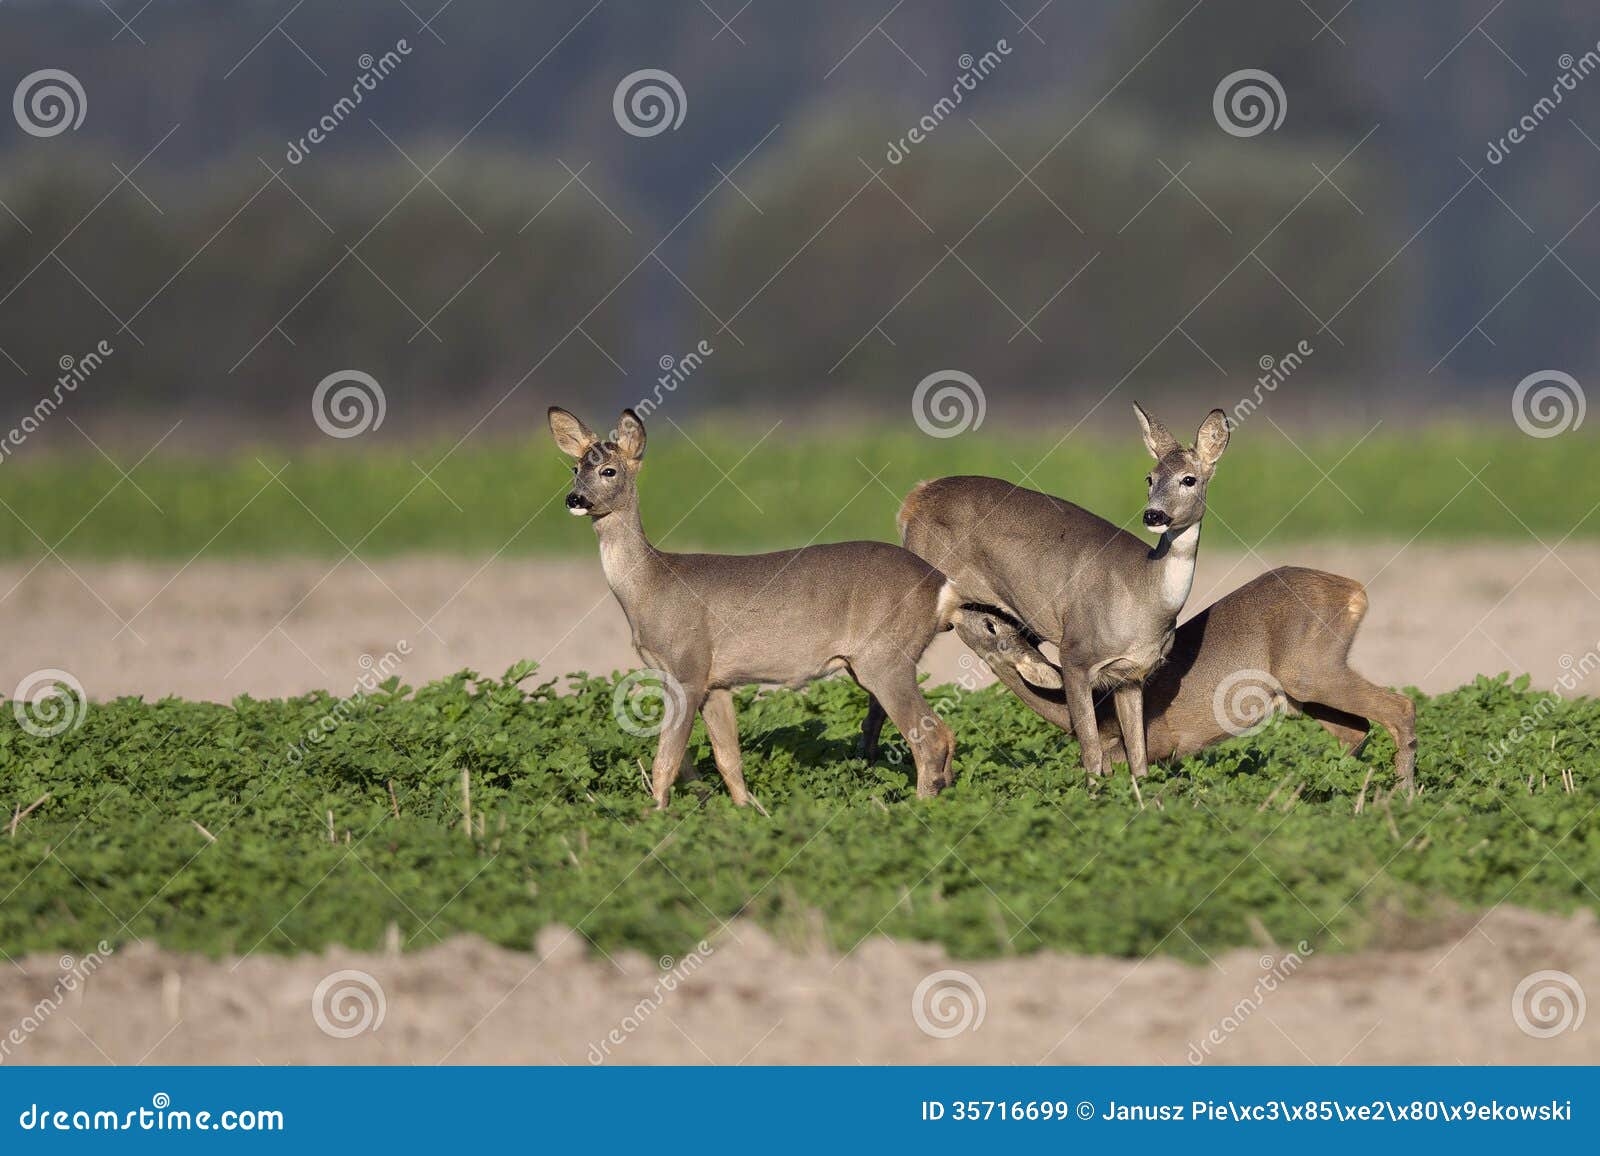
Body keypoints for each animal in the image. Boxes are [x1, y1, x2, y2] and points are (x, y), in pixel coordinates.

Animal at [550, 406, 977, 809]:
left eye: (608, 470)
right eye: (574, 468)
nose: (575, 499)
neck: (650, 585)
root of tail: (942, 584)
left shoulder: (688, 669)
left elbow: (666, 761)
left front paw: (653, 817)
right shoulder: (715, 682)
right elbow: (728, 759)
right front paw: (746, 813)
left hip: (885, 658)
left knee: (932, 737)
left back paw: (918, 808)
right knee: (942, 735)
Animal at [896, 403, 1229, 781]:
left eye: (1189, 479)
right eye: (1150, 478)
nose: (1154, 515)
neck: (1145, 591)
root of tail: (915, 496)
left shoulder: (1131, 676)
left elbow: (1138, 756)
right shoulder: (1075, 656)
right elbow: (1091, 752)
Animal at [918, 567, 1417, 788]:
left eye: (991, 625)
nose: (957, 604)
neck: (1099, 713)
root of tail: (1356, 591)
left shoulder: (1152, 747)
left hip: (1311, 672)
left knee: (1400, 708)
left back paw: (1401, 796)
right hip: (1304, 693)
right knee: (1357, 731)